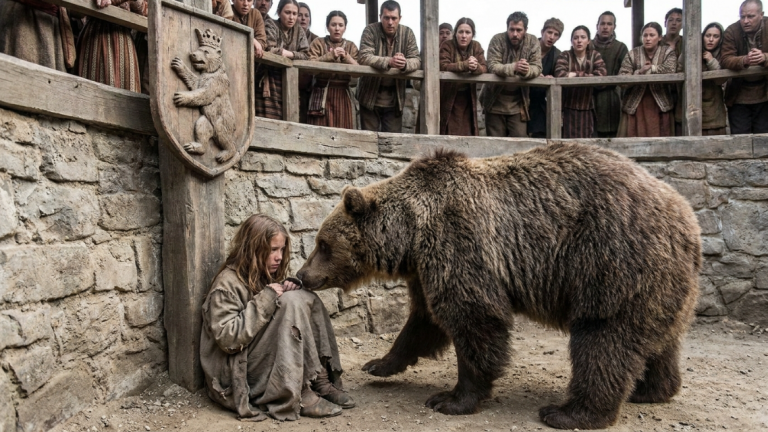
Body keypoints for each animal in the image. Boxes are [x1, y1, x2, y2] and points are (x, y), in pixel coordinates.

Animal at [171, 28, 237, 164]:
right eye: (198, 49)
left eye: (206, 51)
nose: (192, 54)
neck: (212, 70)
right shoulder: (203, 78)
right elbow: (195, 83)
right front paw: (178, 64)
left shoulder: (217, 82)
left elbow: (205, 93)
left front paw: (181, 97)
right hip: (207, 121)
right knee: (201, 127)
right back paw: (195, 146)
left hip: (224, 120)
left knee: (223, 134)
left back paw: (224, 154)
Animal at [297, 142, 701, 430]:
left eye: (322, 244)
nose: (302, 275)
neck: (411, 235)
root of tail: (688, 219)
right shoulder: (425, 269)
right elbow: (422, 322)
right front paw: (379, 363)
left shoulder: (460, 242)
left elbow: (474, 318)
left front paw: (450, 399)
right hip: (659, 285)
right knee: (657, 339)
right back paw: (652, 390)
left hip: (611, 259)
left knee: (603, 338)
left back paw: (569, 412)